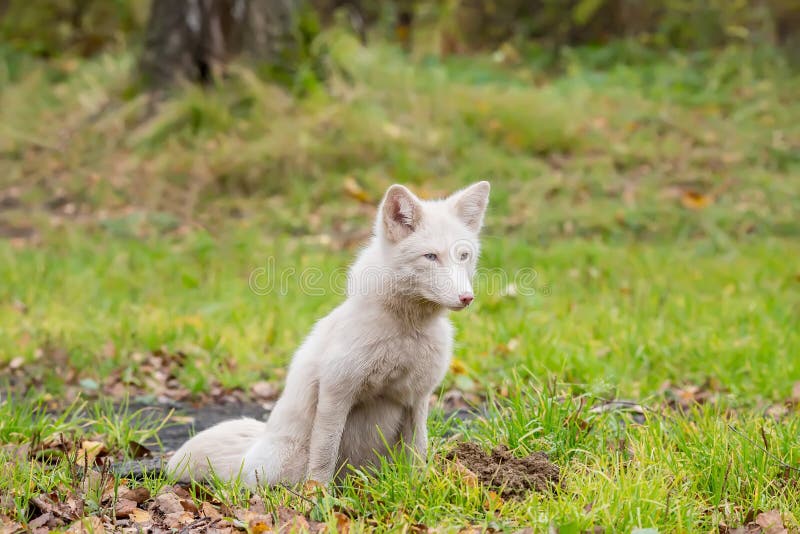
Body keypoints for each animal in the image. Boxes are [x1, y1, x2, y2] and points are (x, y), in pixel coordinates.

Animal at [167, 181, 491, 487]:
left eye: (464, 256)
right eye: (430, 256)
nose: (467, 298)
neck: (405, 335)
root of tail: (253, 449)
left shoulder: (417, 397)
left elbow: (418, 454)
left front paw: (416, 487)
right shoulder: (336, 391)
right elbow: (324, 457)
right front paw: (318, 498)